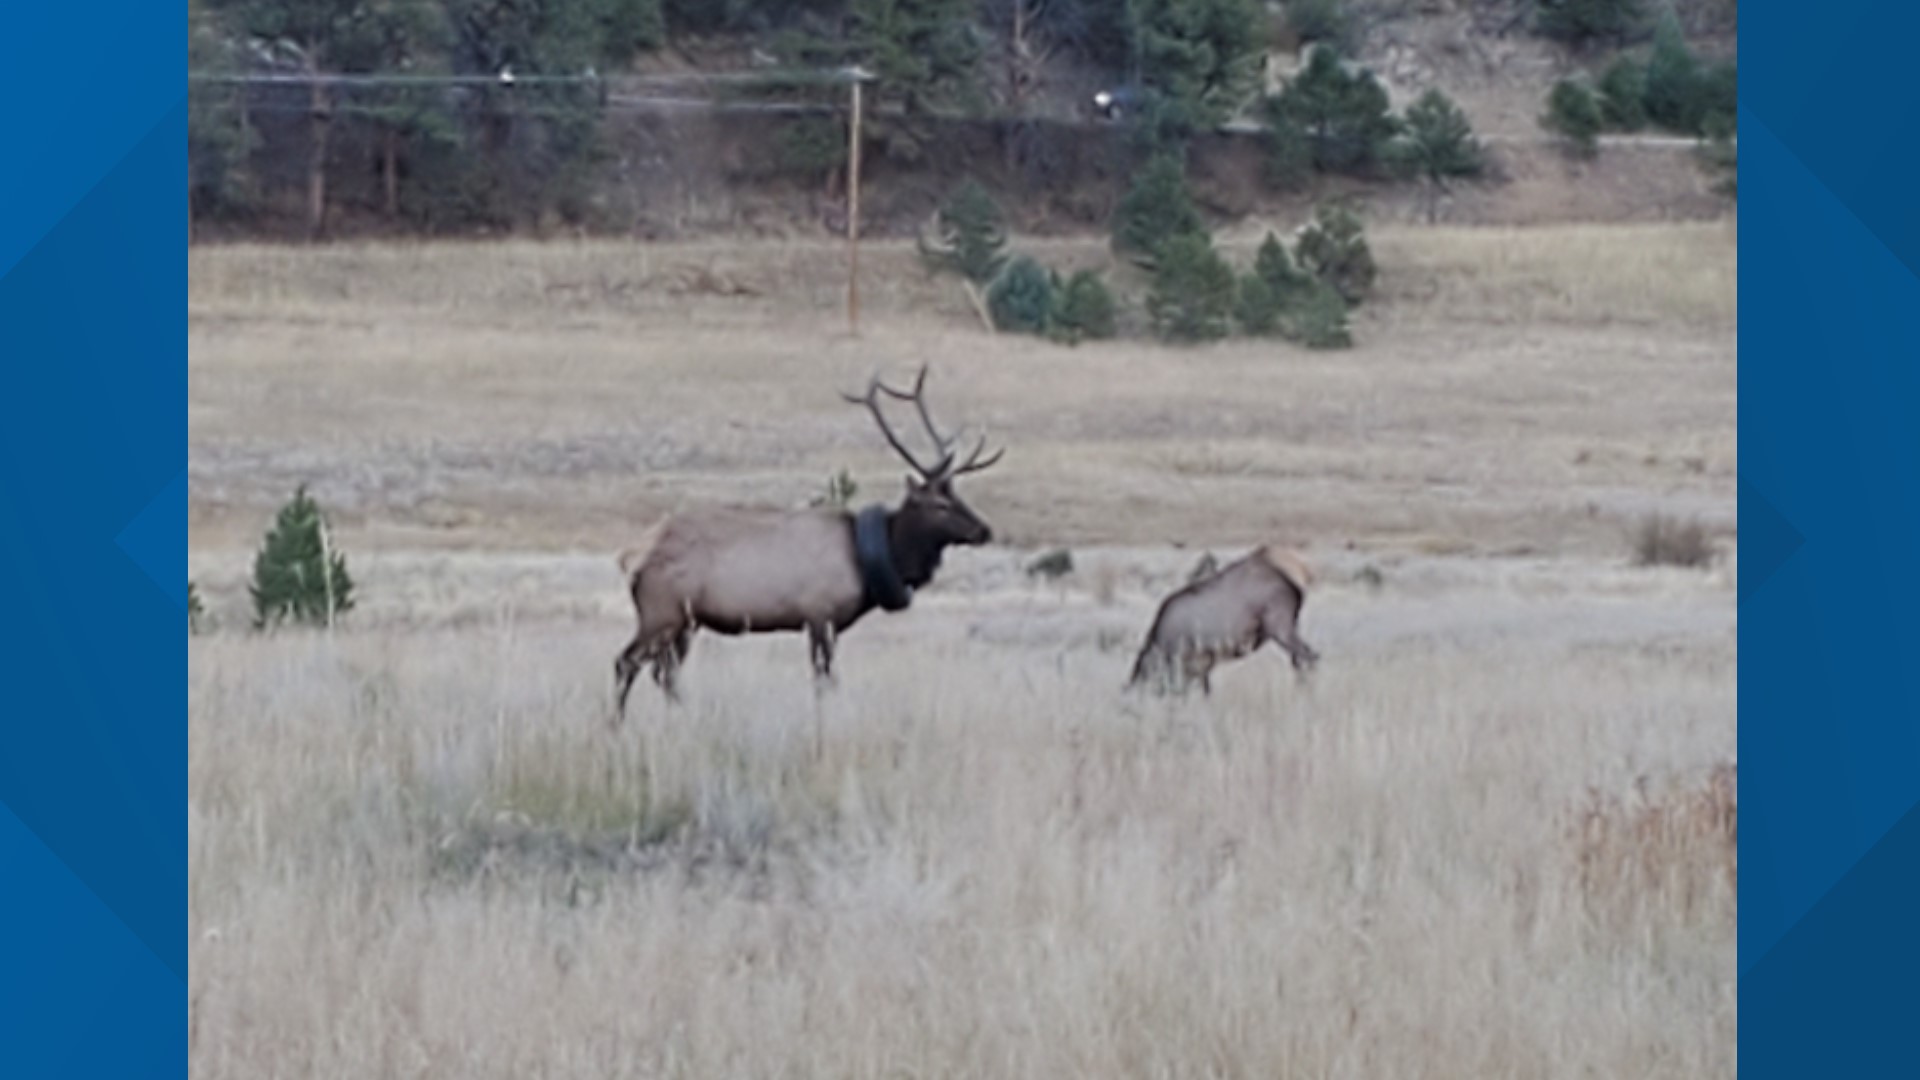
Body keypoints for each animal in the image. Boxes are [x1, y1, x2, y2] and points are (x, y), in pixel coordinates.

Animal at [611, 365, 1003, 719]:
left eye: (958, 495)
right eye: (939, 504)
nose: (984, 530)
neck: (865, 563)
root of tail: (630, 557)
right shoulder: (819, 614)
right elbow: (824, 681)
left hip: (685, 623)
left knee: (665, 674)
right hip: (661, 612)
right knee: (625, 663)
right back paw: (616, 726)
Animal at [1127, 545, 1321, 697]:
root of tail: (1295, 582)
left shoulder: (1192, 663)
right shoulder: (1201, 667)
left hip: (1279, 626)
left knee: (1309, 657)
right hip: (1291, 625)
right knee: (1301, 660)